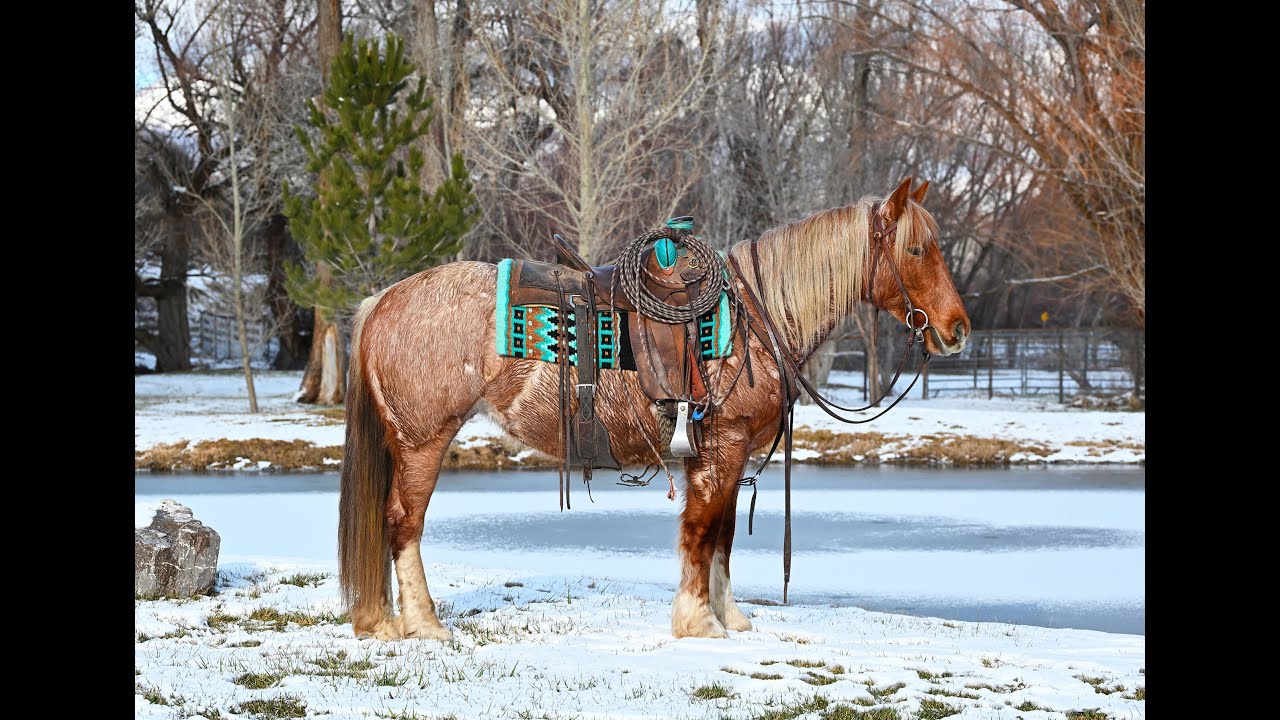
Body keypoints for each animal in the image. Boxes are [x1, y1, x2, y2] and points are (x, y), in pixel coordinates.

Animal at [337, 177, 971, 640]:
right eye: (917, 249)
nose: (957, 329)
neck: (753, 320)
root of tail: (383, 299)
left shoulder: (726, 454)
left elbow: (723, 536)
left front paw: (729, 617)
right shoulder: (723, 446)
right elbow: (701, 532)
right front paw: (699, 624)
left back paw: (384, 621)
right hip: (424, 439)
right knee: (403, 524)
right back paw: (425, 626)